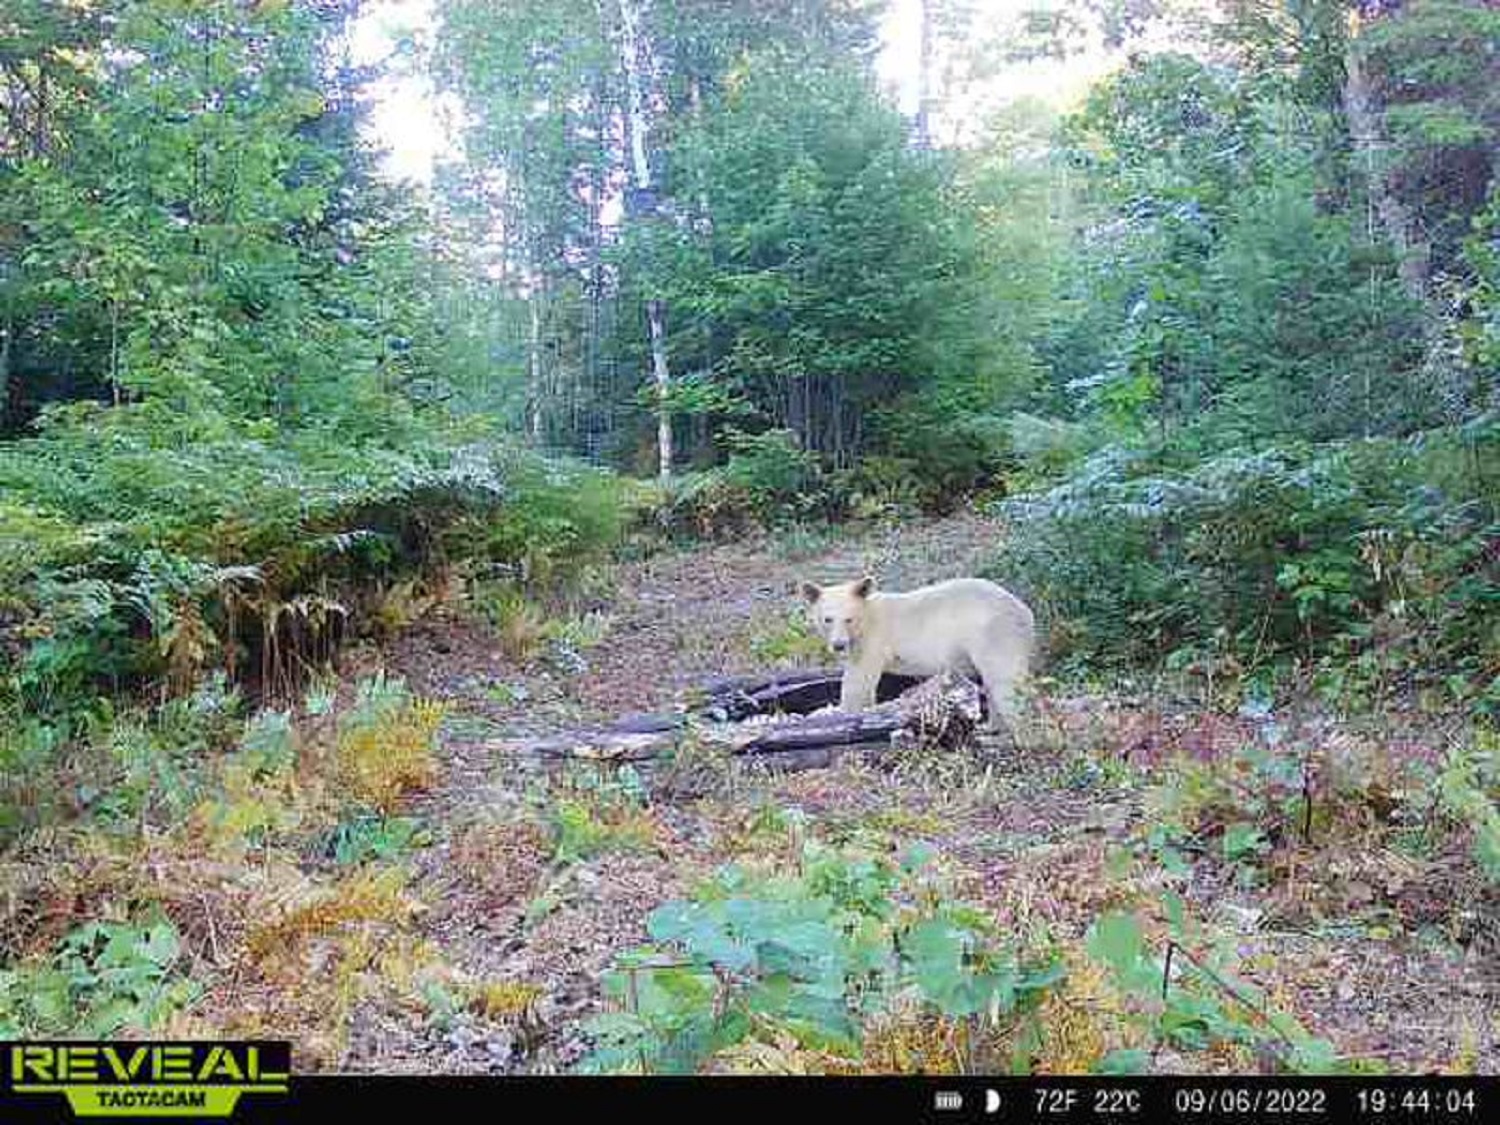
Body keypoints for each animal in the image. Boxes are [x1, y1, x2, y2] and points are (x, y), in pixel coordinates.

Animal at [799, 574, 1035, 732]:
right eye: (827, 619)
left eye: (849, 618)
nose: (838, 645)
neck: (866, 617)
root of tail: (1025, 612)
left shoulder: (873, 640)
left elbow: (858, 682)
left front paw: (839, 713)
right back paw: (991, 727)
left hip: (995, 634)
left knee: (1004, 682)